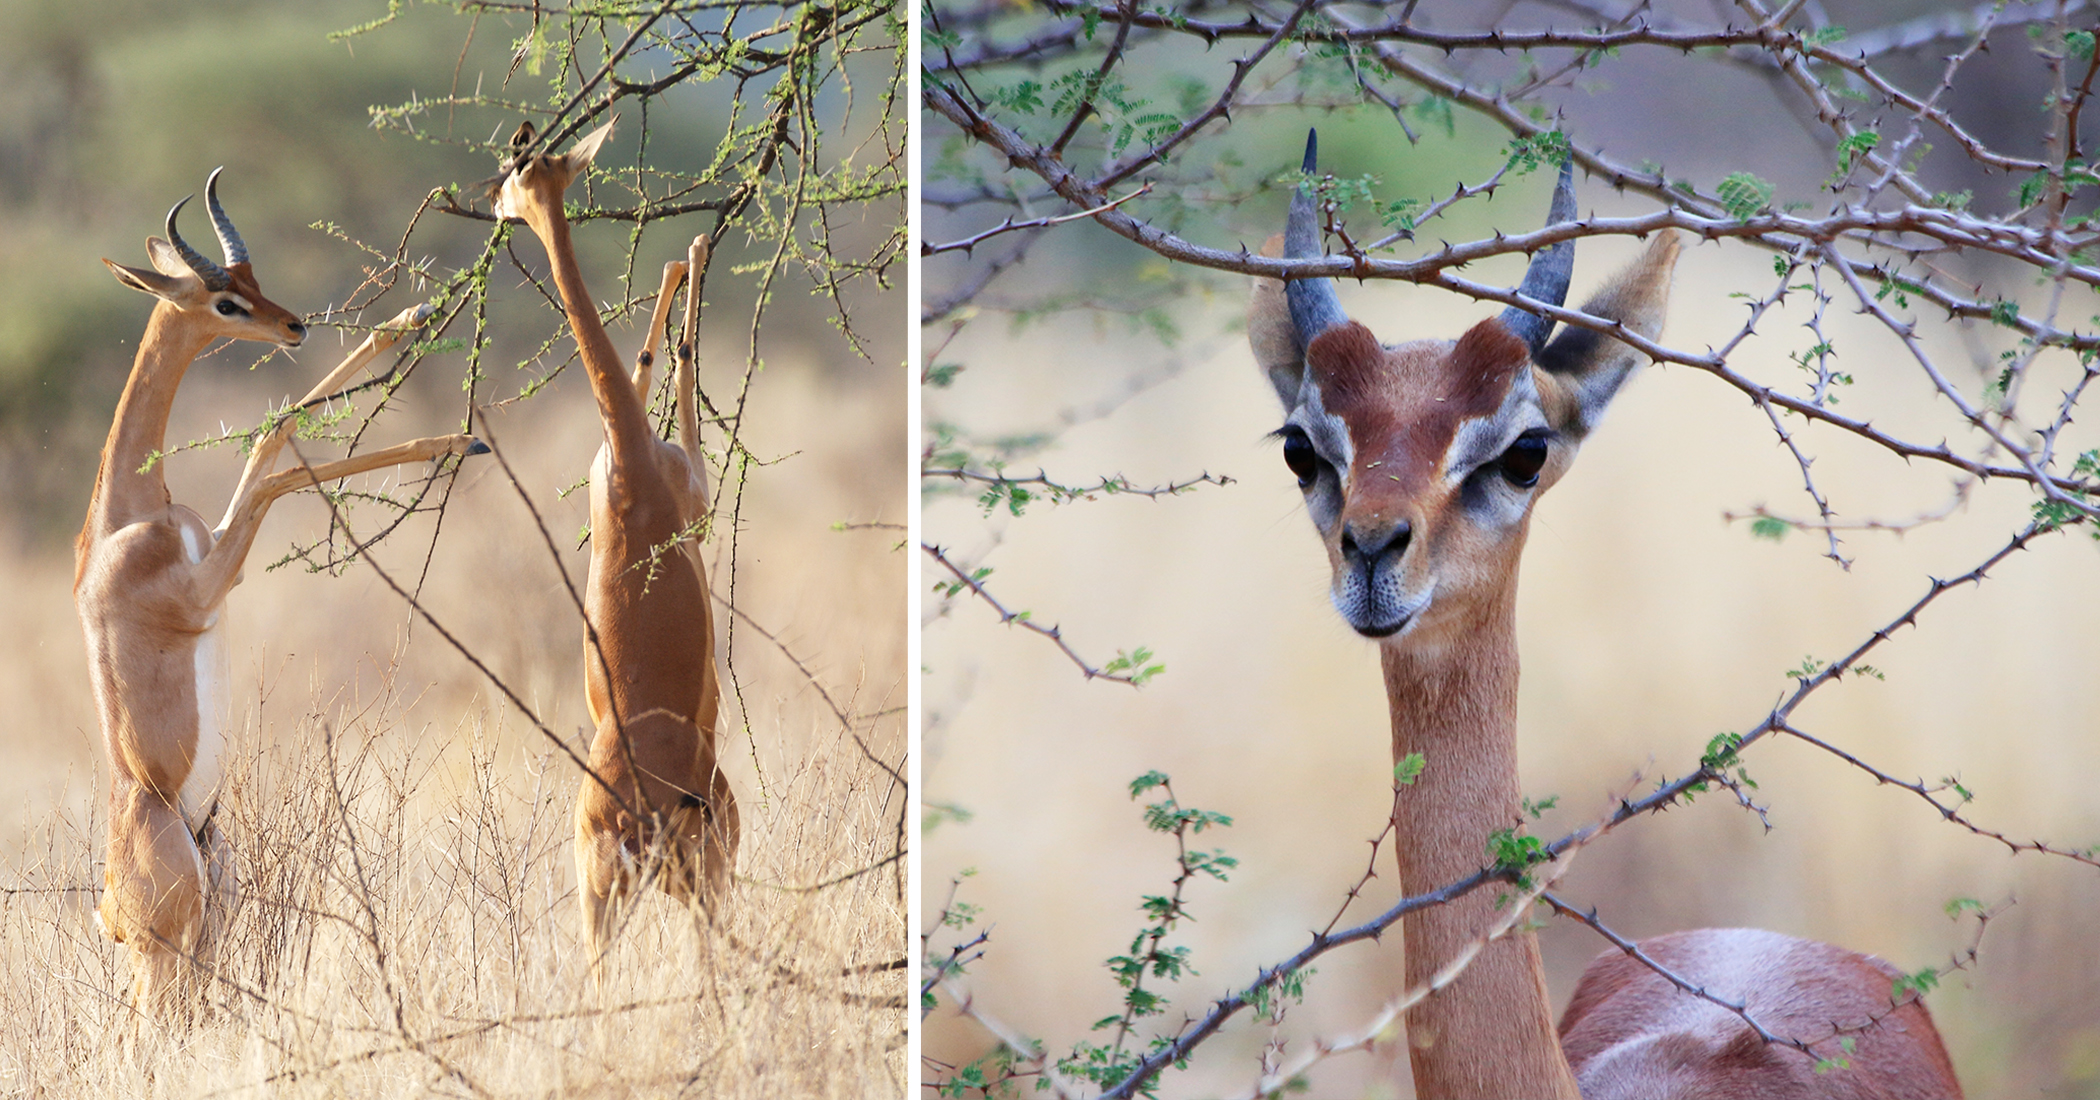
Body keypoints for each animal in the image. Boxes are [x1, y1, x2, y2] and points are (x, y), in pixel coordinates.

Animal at [81, 170, 489, 1015]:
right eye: (222, 301)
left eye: (253, 281)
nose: (295, 326)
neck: (122, 519)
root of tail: (107, 908)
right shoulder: (205, 590)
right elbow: (281, 473)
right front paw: (458, 438)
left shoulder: (218, 558)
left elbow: (271, 434)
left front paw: (410, 317)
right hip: (167, 955)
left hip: (211, 918)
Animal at [488, 120, 737, 964]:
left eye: (519, 174)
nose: (495, 206)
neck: (629, 461)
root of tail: (643, 814)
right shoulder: (697, 490)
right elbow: (674, 362)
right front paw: (690, 250)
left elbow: (641, 360)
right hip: (711, 876)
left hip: (602, 899)